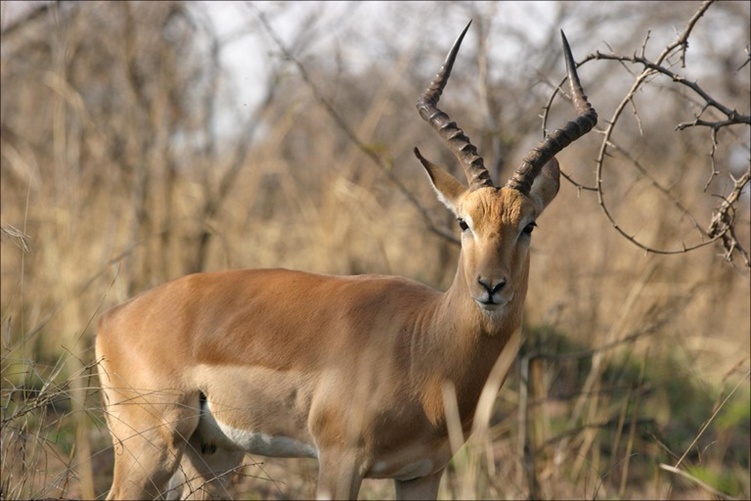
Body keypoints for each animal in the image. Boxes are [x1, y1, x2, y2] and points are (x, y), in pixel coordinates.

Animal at [96, 21, 596, 500]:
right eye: (463, 221)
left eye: (529, 225)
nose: (491, 286)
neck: (423, 343)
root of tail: (114, 316)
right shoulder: (339, 461)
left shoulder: (423, 473)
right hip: (150, 445)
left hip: (212, 453)